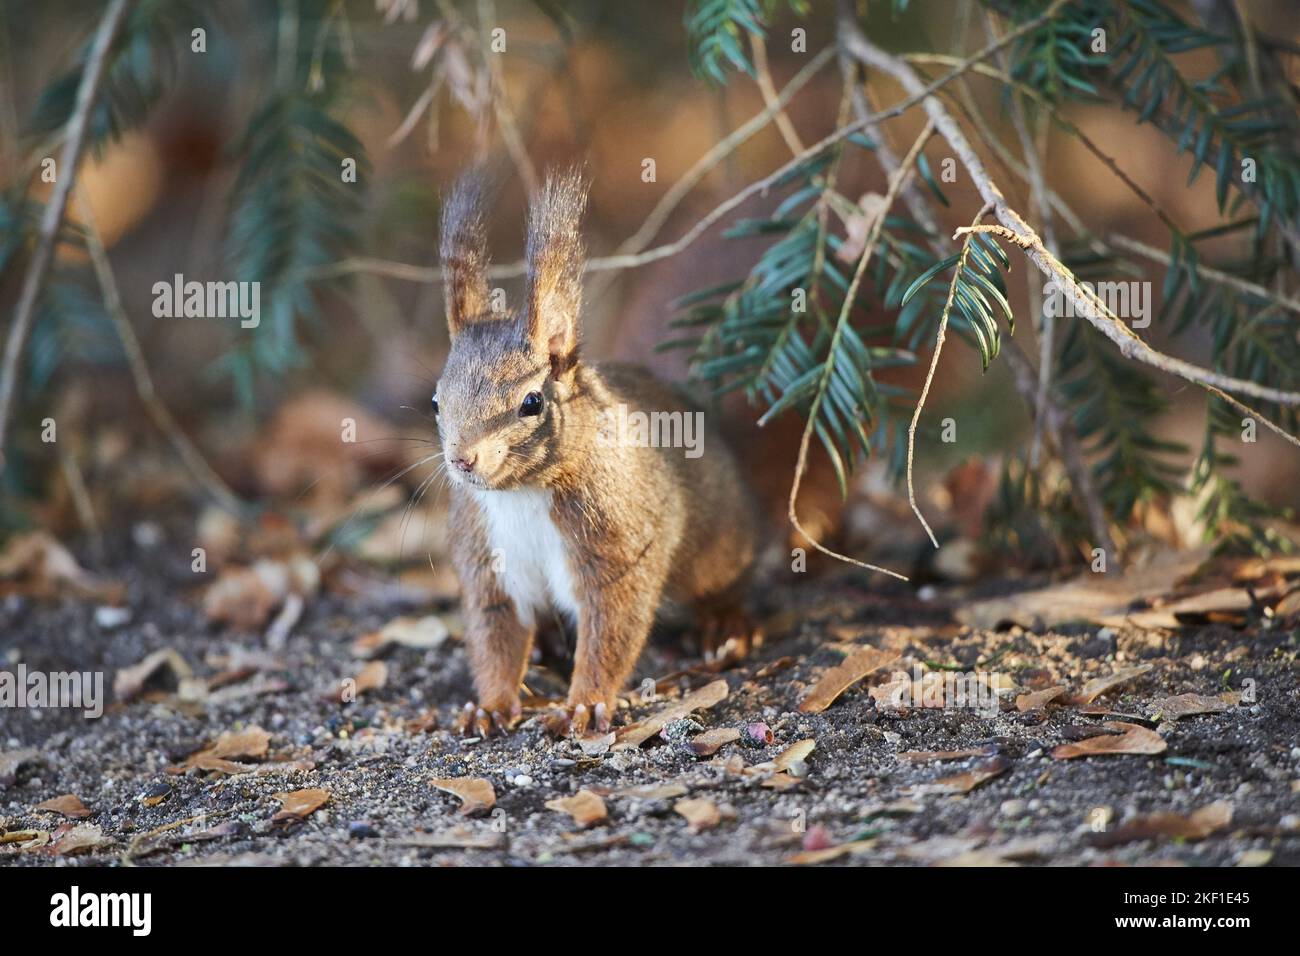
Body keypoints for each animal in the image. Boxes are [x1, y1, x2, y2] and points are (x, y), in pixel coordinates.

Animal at [435, 171, 761, 737]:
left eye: (531, 402)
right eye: (436, 401)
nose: (462, 460)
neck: (521, 494)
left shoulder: (620, 545)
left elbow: (611, 627)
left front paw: (584, 705)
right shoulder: (488, 560)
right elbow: (494, 635)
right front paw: (490, 706)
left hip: (715, 549)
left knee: (725, 582)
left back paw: (725, 627)